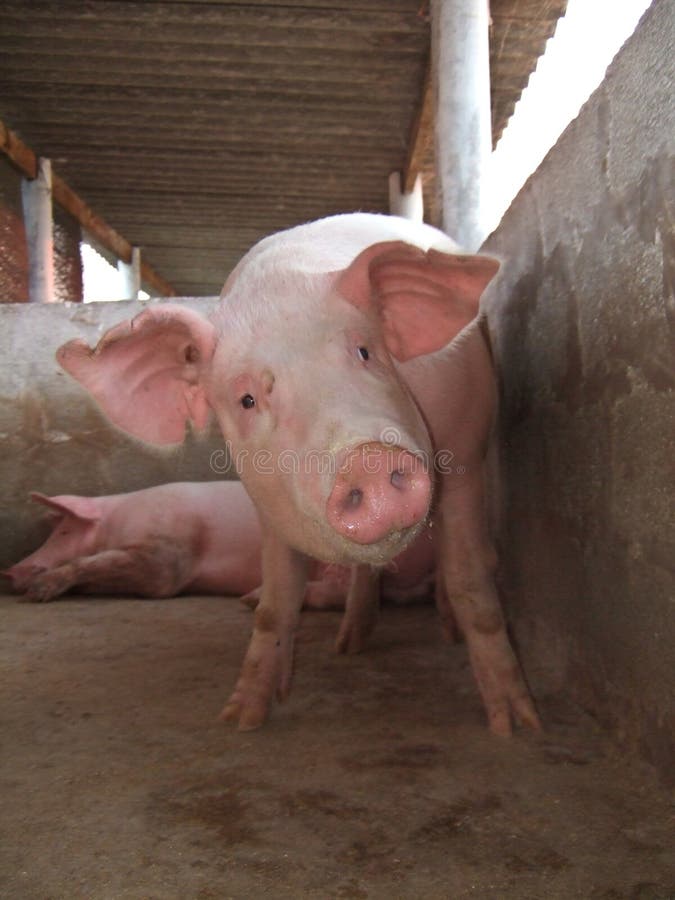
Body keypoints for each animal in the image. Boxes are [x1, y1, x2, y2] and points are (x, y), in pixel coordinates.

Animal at [57, 213, 540, 736]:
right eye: (247, 399)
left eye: (365, 352)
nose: (365, 460)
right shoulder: (267, 507)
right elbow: (274, 606)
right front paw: (241, 719)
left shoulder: (465, 455)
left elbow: (470, 581)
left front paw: (517, 724)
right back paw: (348, 645)